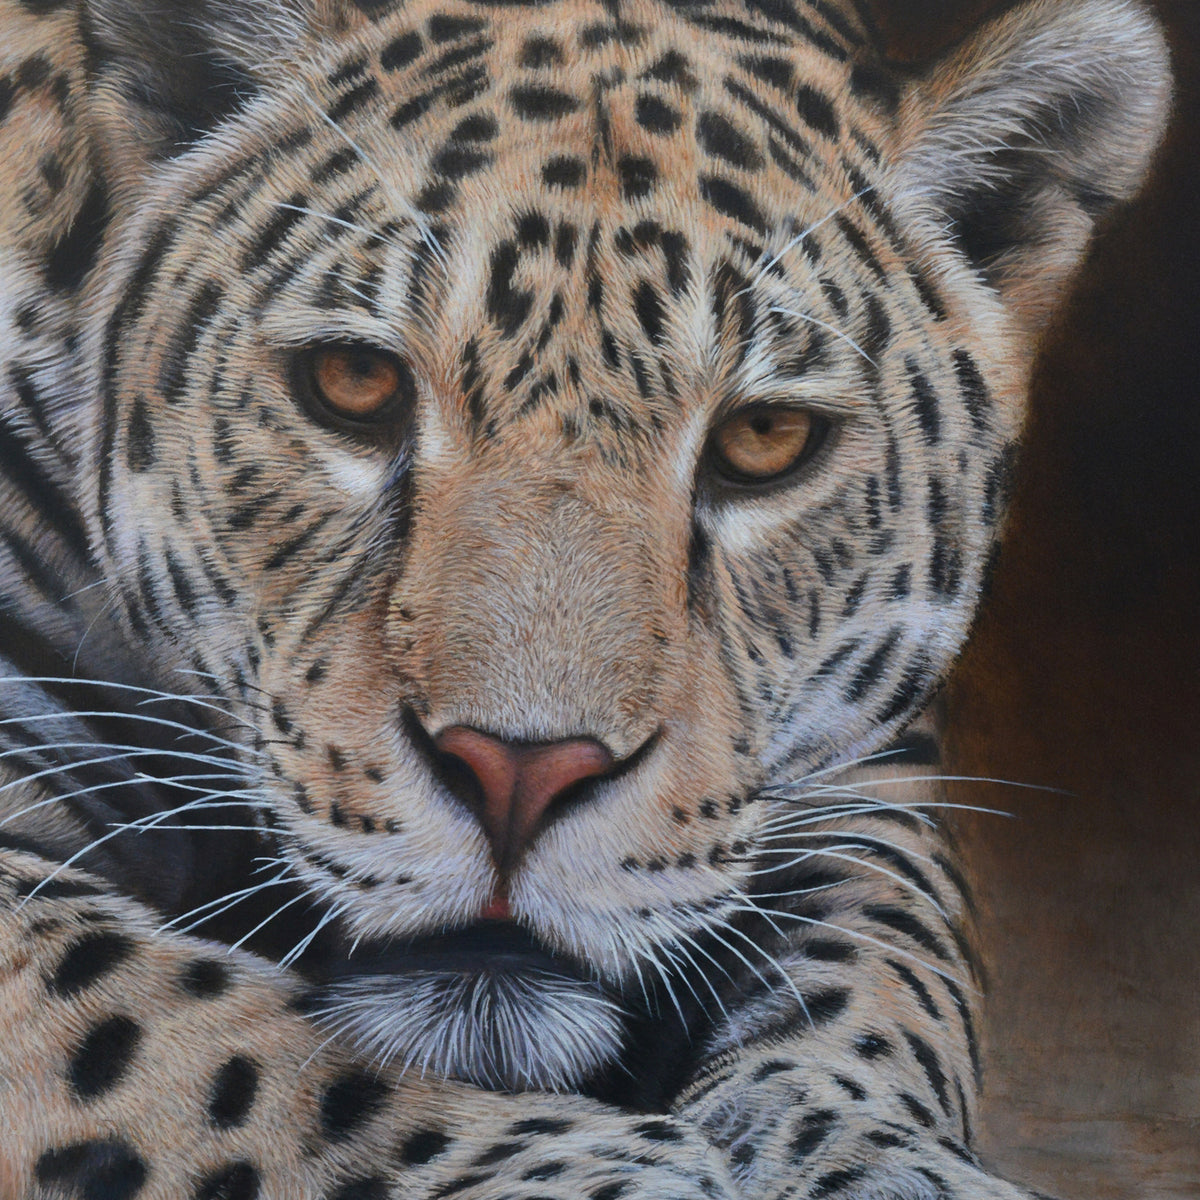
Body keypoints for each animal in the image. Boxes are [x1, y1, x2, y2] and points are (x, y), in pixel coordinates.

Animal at [0, 0, 1171, 1197]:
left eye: (766, 438)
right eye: (354, 385)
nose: (519, 775)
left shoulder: (868, 770)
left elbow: (879, 982)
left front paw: (883, 1161)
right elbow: (182, 1035)